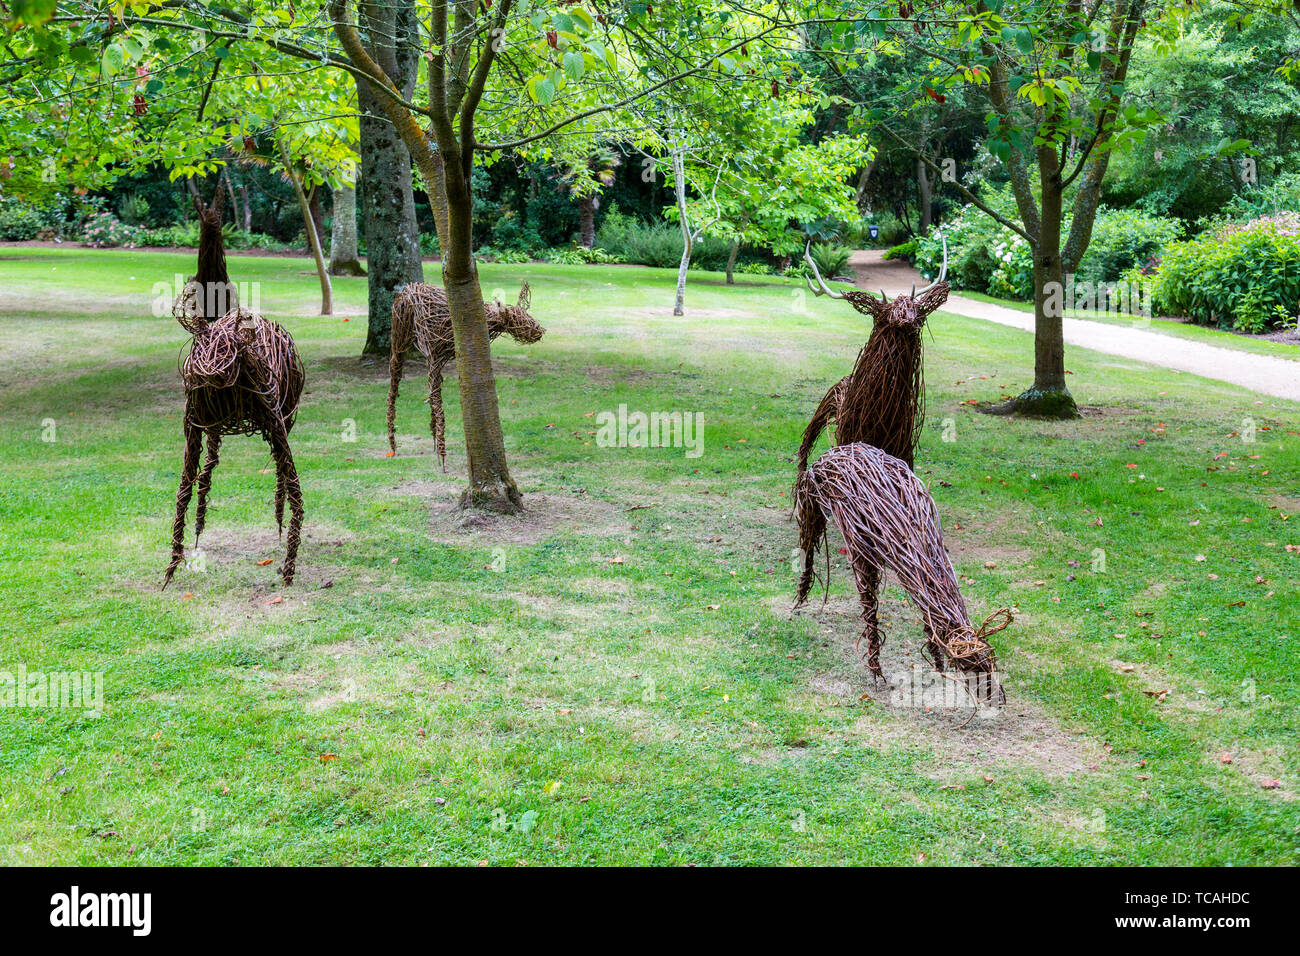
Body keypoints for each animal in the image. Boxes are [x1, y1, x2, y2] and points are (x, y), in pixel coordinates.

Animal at [163, 180, 306, 588]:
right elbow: (189, 485)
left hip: (280, 419)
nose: (212, 225)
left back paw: (285, 550)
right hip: (246, 423)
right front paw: (174, 564)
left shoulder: (265, 420)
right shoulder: (197, 425)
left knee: (287, 483)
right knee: (216, 472)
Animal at [386, 281, 545, 469]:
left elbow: (434, 396)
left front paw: (437, 444)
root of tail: (406, 290)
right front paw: (443, 456)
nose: (540, 331)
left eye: (528, 316)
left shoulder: (440, 358)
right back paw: (393, 444)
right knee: (394, 379)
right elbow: (437, 400)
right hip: (400, 340)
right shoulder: (435, 356)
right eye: (521, 320)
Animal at [794, 441, 1007, 691]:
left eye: (989, 661)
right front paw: (876, 673)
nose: (993, 692)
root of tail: (841, 448)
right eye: (972, 662)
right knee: (807, 549)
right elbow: (870, 617)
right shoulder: (860, 553)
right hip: (810, 508)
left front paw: (938, 665)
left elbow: (925, 622)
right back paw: (800, 597)